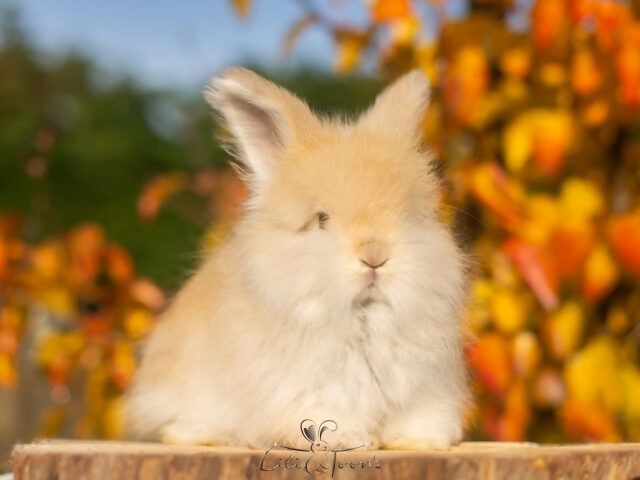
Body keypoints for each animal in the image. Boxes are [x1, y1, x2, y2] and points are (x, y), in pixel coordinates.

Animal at [124, 67, 470, 451]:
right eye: (322, 219)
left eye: (408, 216)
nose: (375, 257)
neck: (363, 317)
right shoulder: (304, 391)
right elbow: (321, 418)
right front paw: (348, 438)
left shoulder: (425, 387)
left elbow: (419, 419)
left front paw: (421, 440)